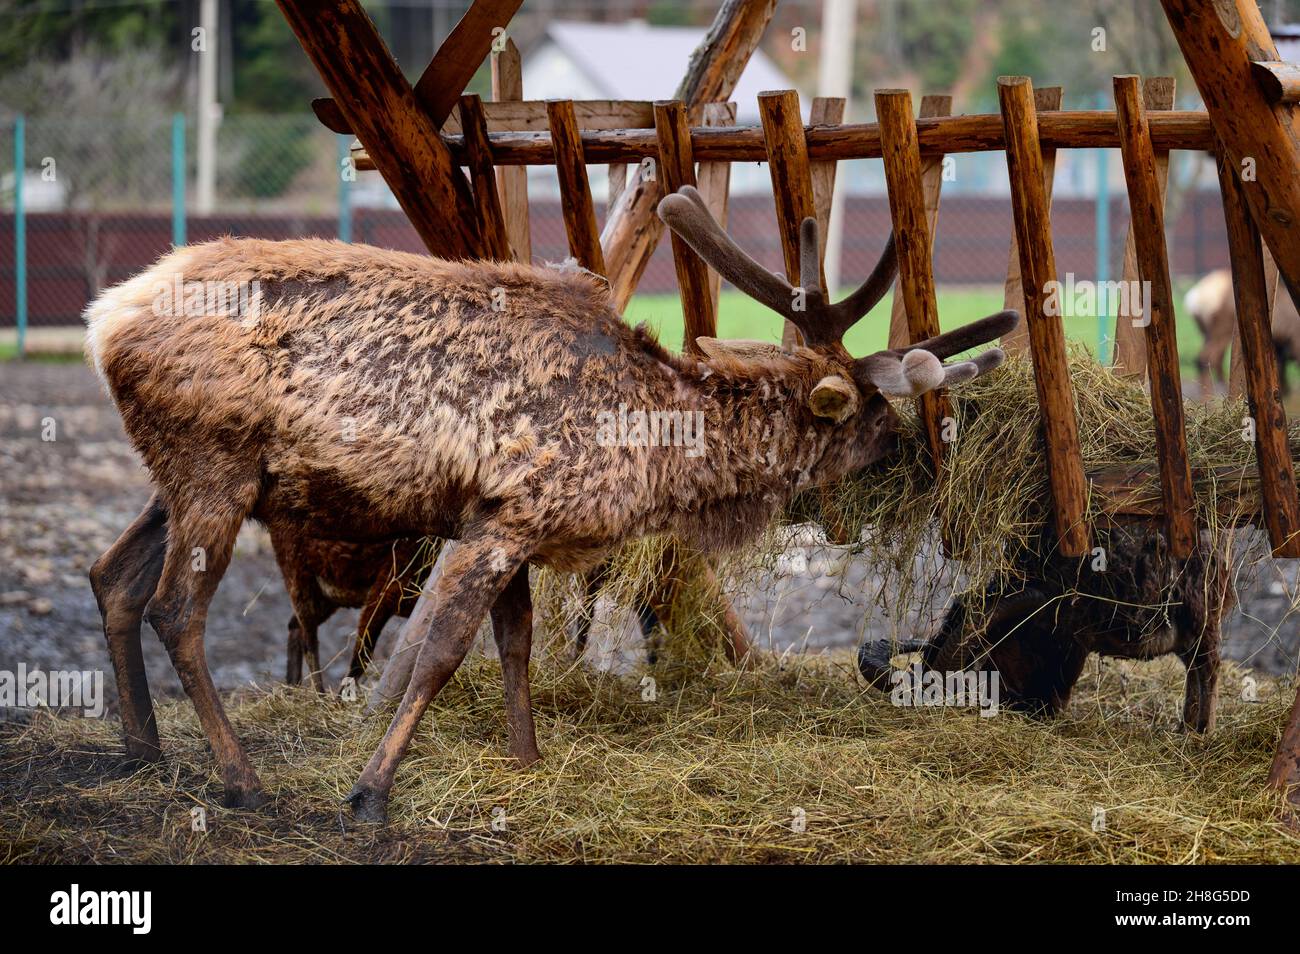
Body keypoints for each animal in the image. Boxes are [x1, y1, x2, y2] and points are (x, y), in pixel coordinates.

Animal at [84, 183, 1016, 823]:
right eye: (874, 415)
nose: (924, 462)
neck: (651, 449)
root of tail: (103, 320)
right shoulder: (508, 517)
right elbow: (443, 651)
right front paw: (371, 792)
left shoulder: (510, 521)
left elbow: (517, 645)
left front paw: (527, 761)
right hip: (214, 465)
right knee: (175, 607)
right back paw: (238, 779)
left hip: (182, 475)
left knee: (110, 575)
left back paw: (141, 751)